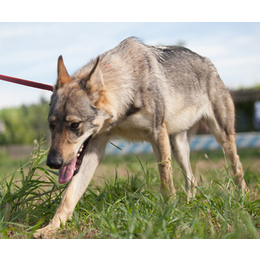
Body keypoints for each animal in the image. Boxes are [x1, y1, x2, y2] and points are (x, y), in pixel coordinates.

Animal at [33, 36, 246, 238]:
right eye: (51, 125)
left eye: (74, 125)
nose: (52, 162)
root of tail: (208, 62)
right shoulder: (94, 150)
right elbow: (69, 196)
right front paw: (51, 228)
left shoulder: (157, 134)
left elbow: (166, 182)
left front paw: (170, 214)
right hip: (178, 147)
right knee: (191, 178)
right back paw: (189, 205)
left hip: (221, 136)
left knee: (237, 167)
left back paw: (242, 199)